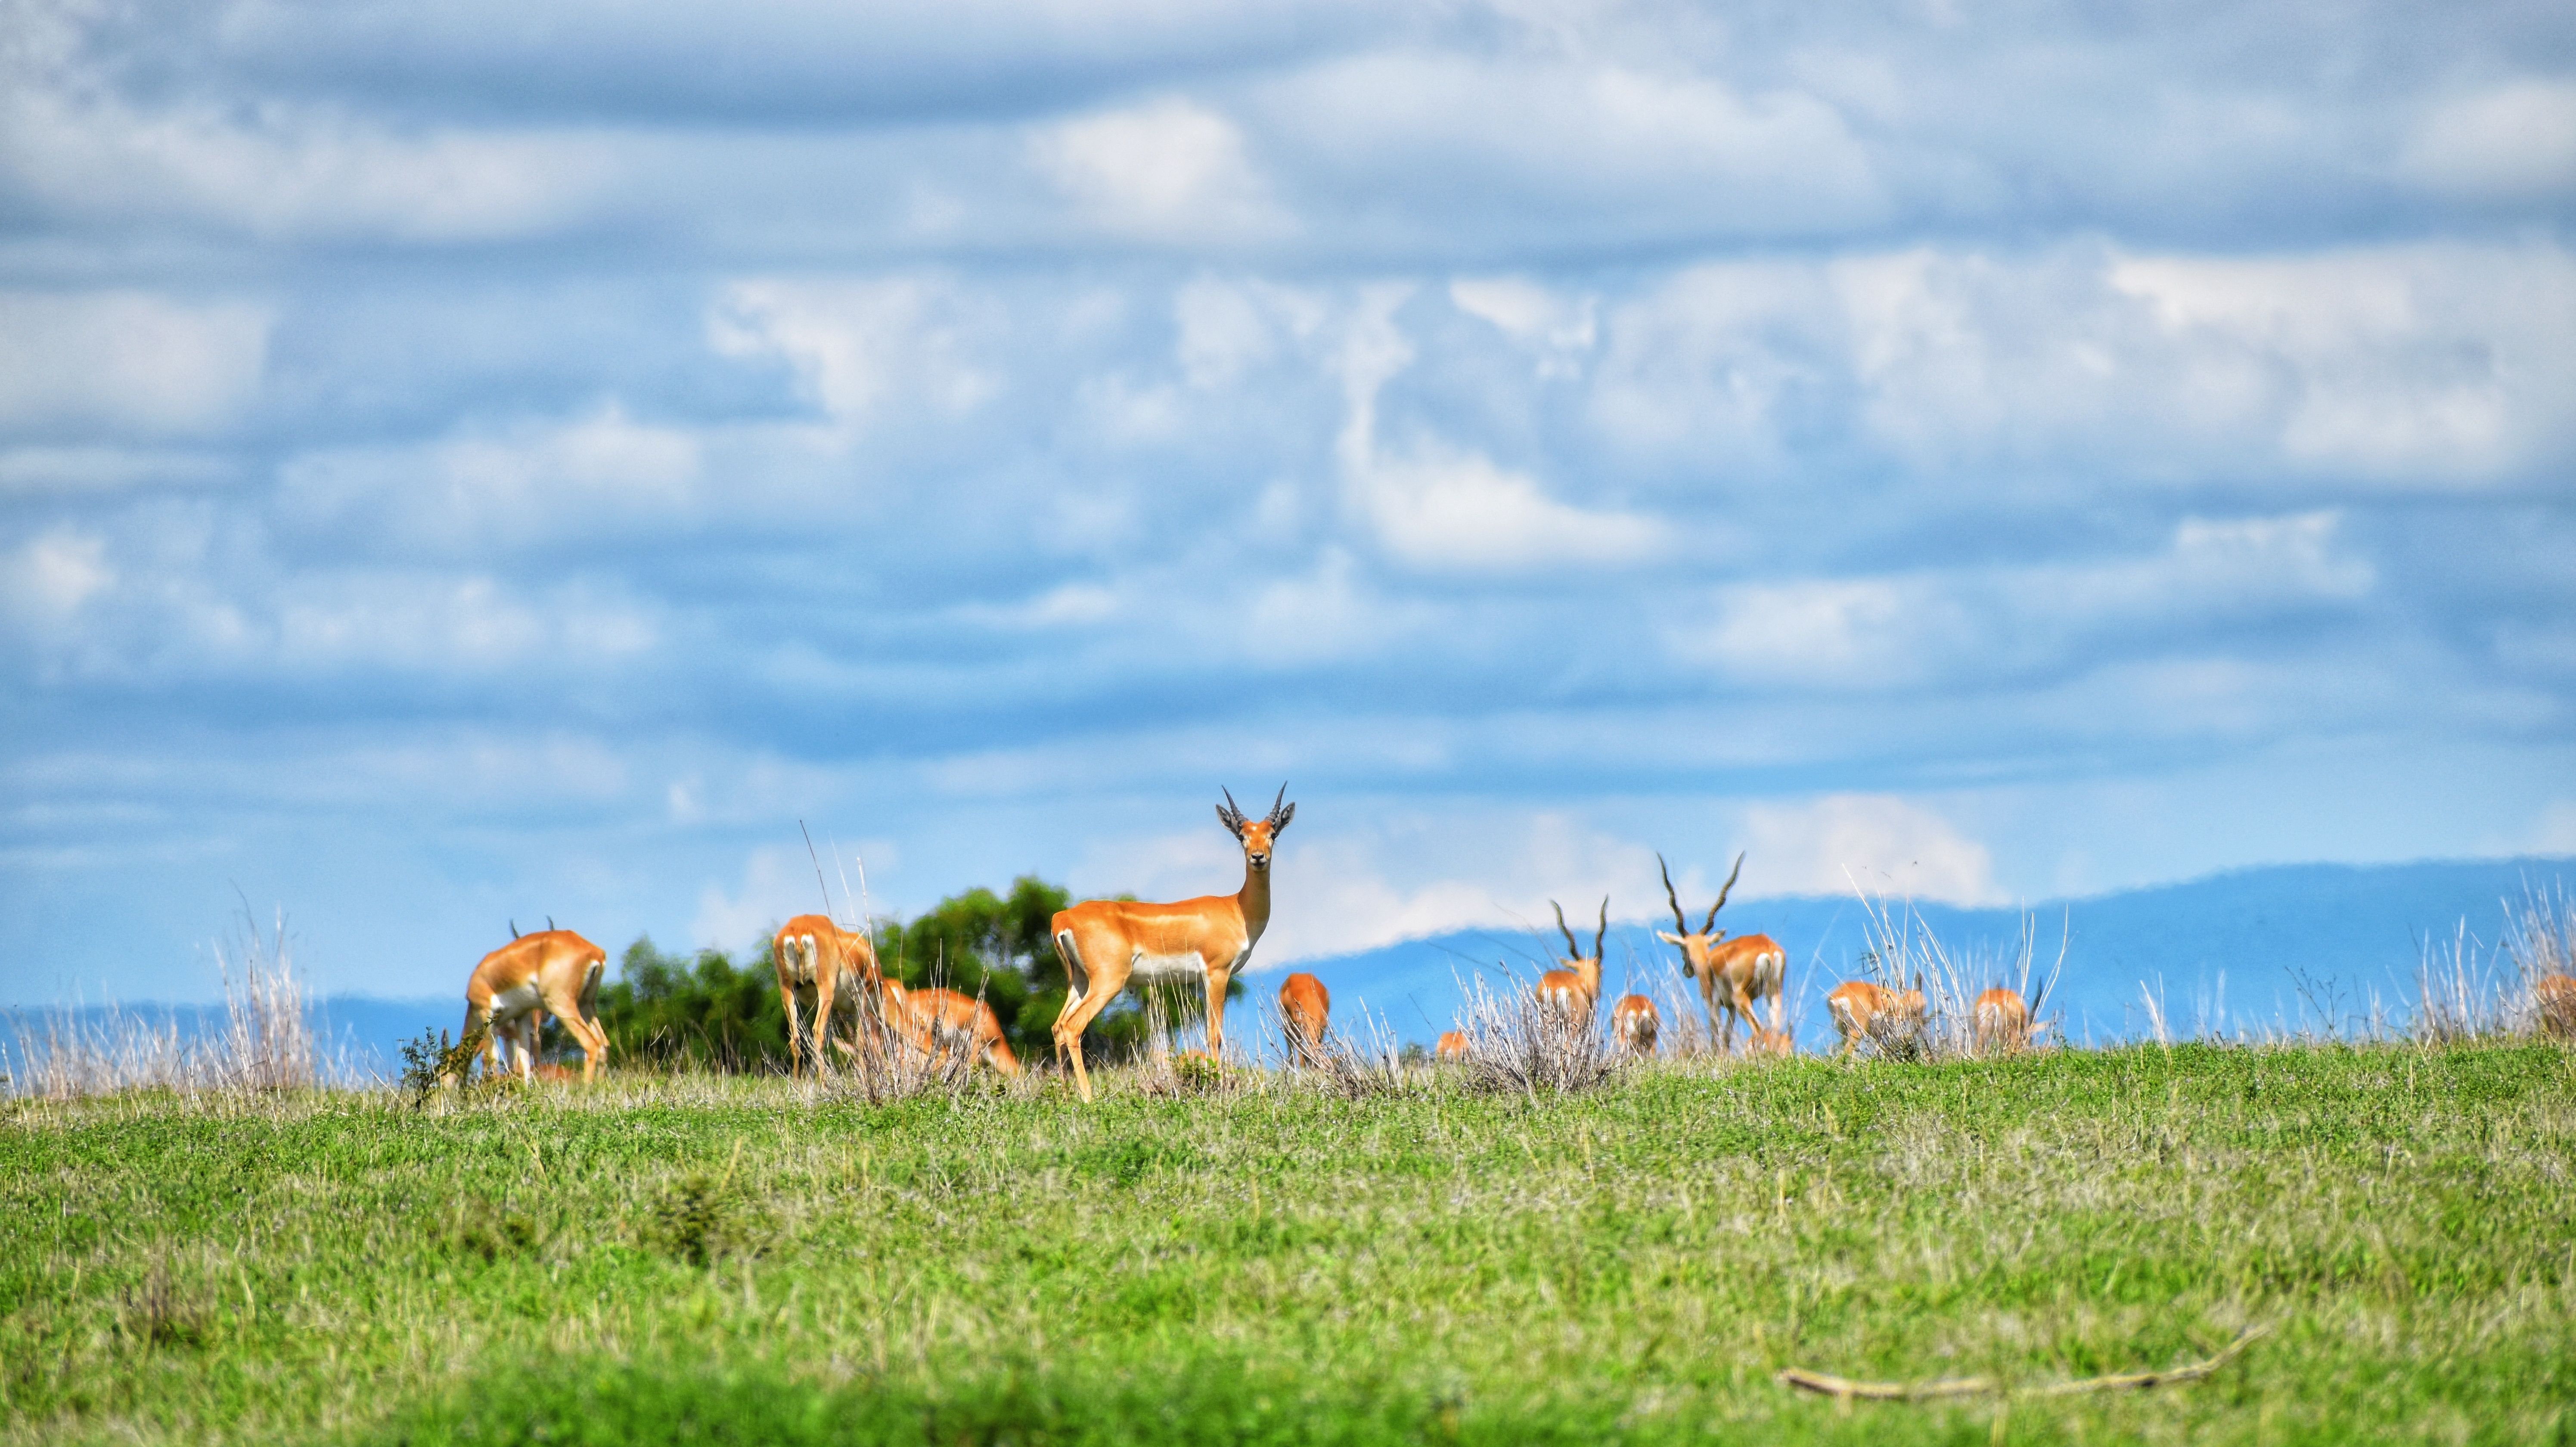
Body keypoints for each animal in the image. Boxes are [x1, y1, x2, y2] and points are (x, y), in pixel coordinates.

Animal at [457, 929, 609, 1084]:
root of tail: (595, 952)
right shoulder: (519, 1019)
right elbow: (522, 1057)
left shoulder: (488, 1016)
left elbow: (490, 1058)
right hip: (586, 1004)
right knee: (604, 1044)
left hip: (561, 1007)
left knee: (591, 1044)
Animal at [773, 913, 884, 1077]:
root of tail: (799, 930)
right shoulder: (861, 1001)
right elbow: (860, 1041)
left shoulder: (833, 1010)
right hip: (826, 991)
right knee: (818, 1032)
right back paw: (823, 1083)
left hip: (787, 990)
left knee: (796, 1039)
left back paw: (797, 1083)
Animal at [1049, 785, 1294, 1103]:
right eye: (1242, 835)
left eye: (1272, 833)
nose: (1258, 856)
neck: (1237, 908)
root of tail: (1062, 917)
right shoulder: (1218, 973)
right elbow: (1215, 1034)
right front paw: (1217, 1086)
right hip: (1108, 982)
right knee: (1072, 1027)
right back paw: (1089, 1097)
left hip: (1079, 982)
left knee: (1057, 1026)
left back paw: (1066, 1095)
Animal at [1656, 852, 1790, 1056]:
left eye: (1682, 948)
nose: (1687, 970)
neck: (1708, 964)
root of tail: (1767, 947)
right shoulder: (1731, 1008)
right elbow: (1727, 1037)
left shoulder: (1714, 1005)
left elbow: (1716, 1034)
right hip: (1774, 993)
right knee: (1775, 1029)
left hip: (1743, 999)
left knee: (1759, 1030)